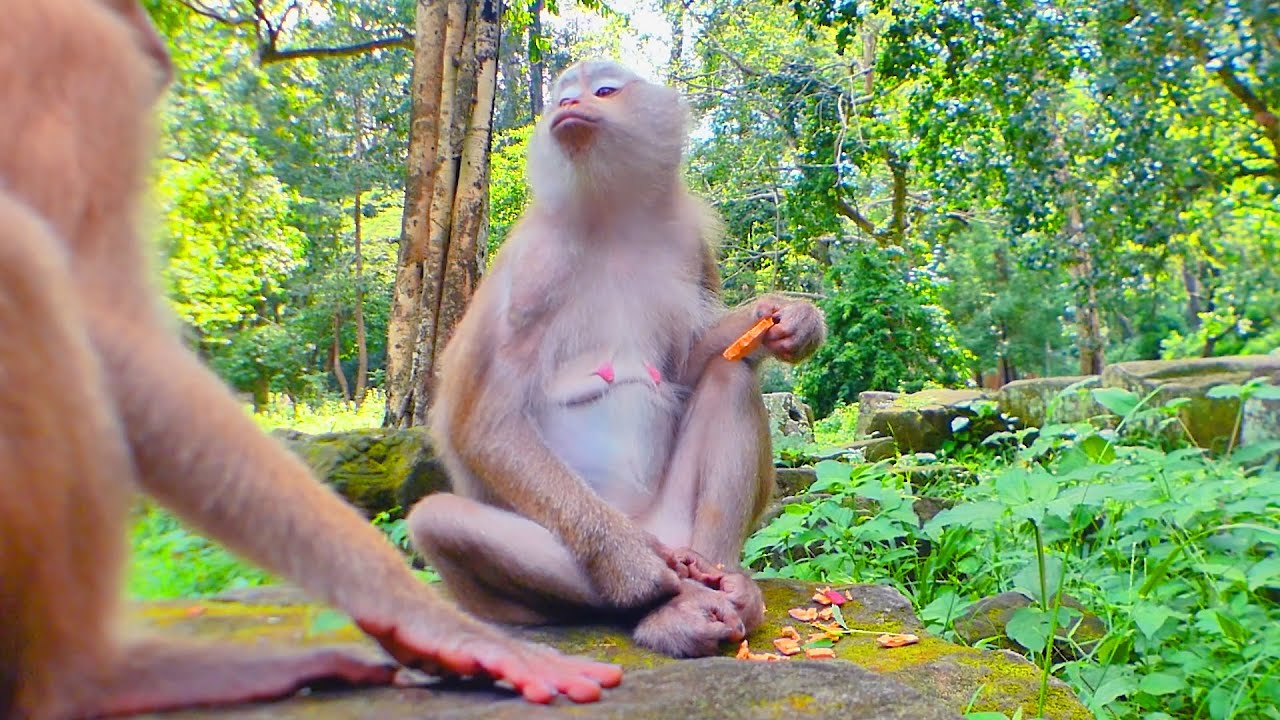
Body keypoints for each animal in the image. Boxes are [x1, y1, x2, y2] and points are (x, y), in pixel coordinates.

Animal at [0, 3, 623, 718]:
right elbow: (111, 322)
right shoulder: (80, 51)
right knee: (24, 254)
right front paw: (427, 617)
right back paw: (90, 676)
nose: (156, 49)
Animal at [409, 59, 826, 659]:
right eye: (563, 96)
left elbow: (687, 366)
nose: (567, 106)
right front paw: (641, 575)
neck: (611, 216)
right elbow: (484, 421)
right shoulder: (536, 265)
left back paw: (728, 584)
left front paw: (790, 319)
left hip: (677, 521)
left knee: (729, 376)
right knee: (441, 519)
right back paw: (669, 607)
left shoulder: (688, 246)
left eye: (603, 91)